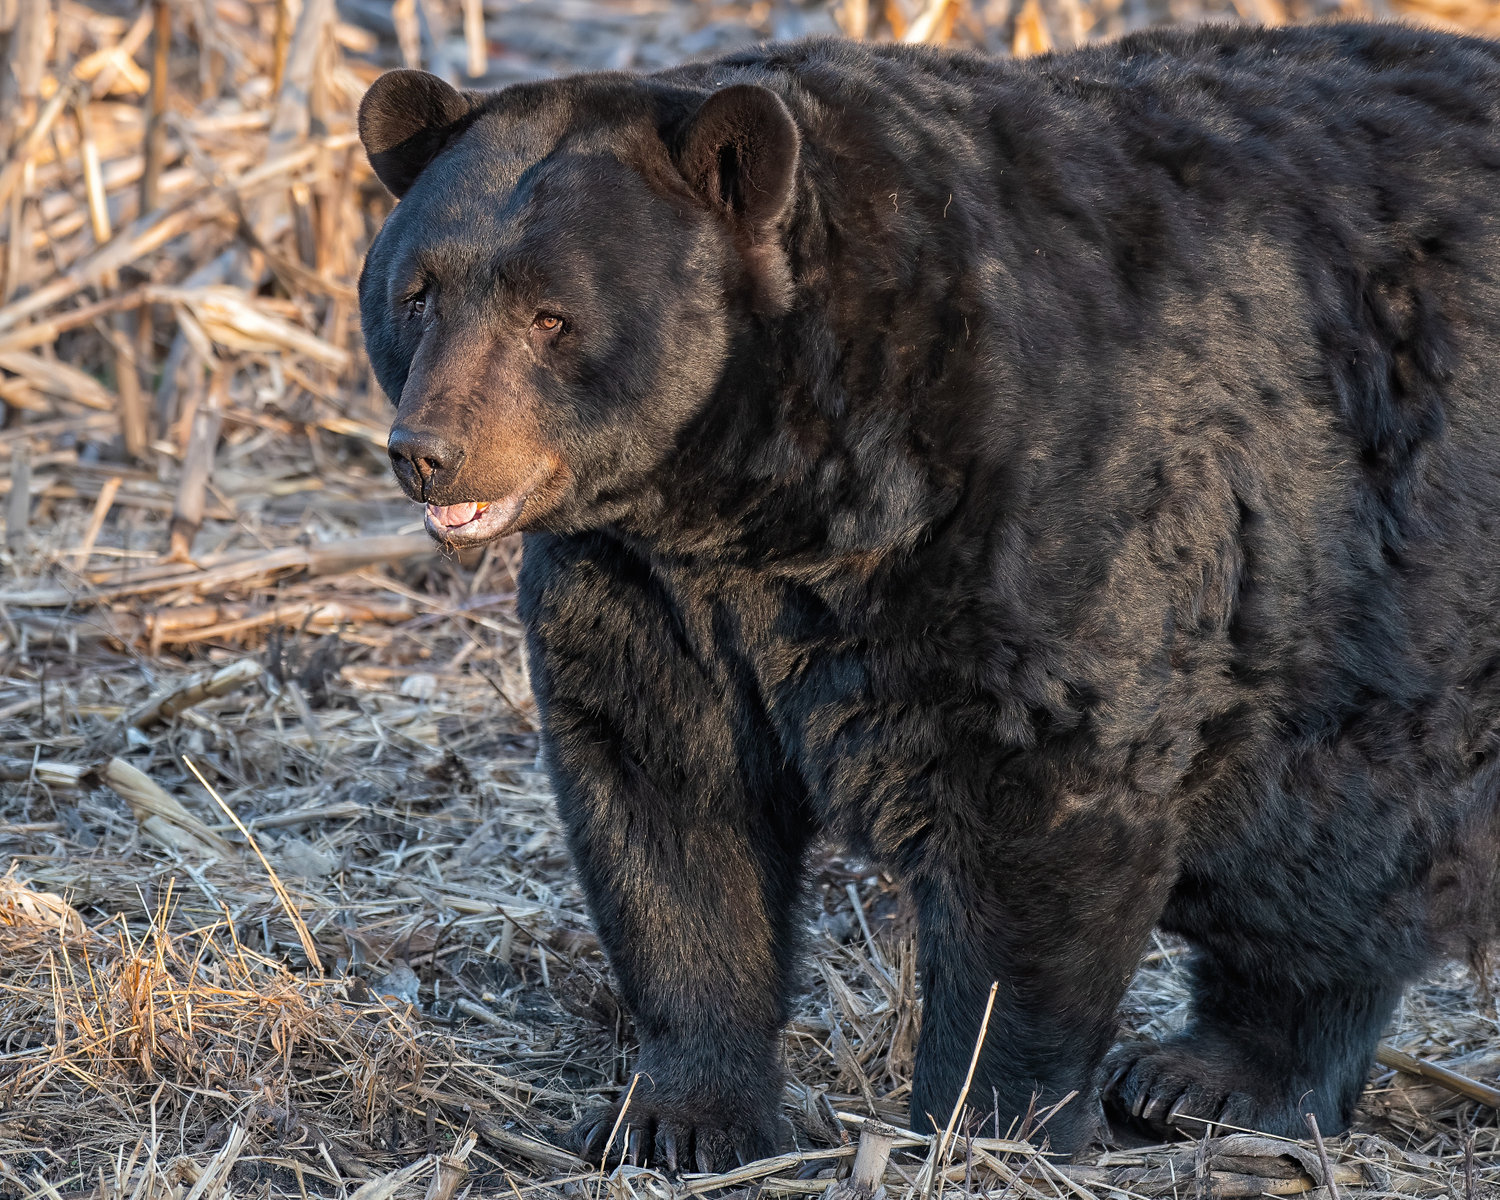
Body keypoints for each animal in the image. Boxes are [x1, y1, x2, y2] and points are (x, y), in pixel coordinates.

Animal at [357, 22, 1500, 1170]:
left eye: (553, 315)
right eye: (418, 291)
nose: (429, 453)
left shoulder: (1036, 508)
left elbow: (1047, 802)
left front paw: (984, 1123)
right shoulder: (647, 586)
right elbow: (665, 805)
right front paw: (679, 1118)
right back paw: (1210, 1079)